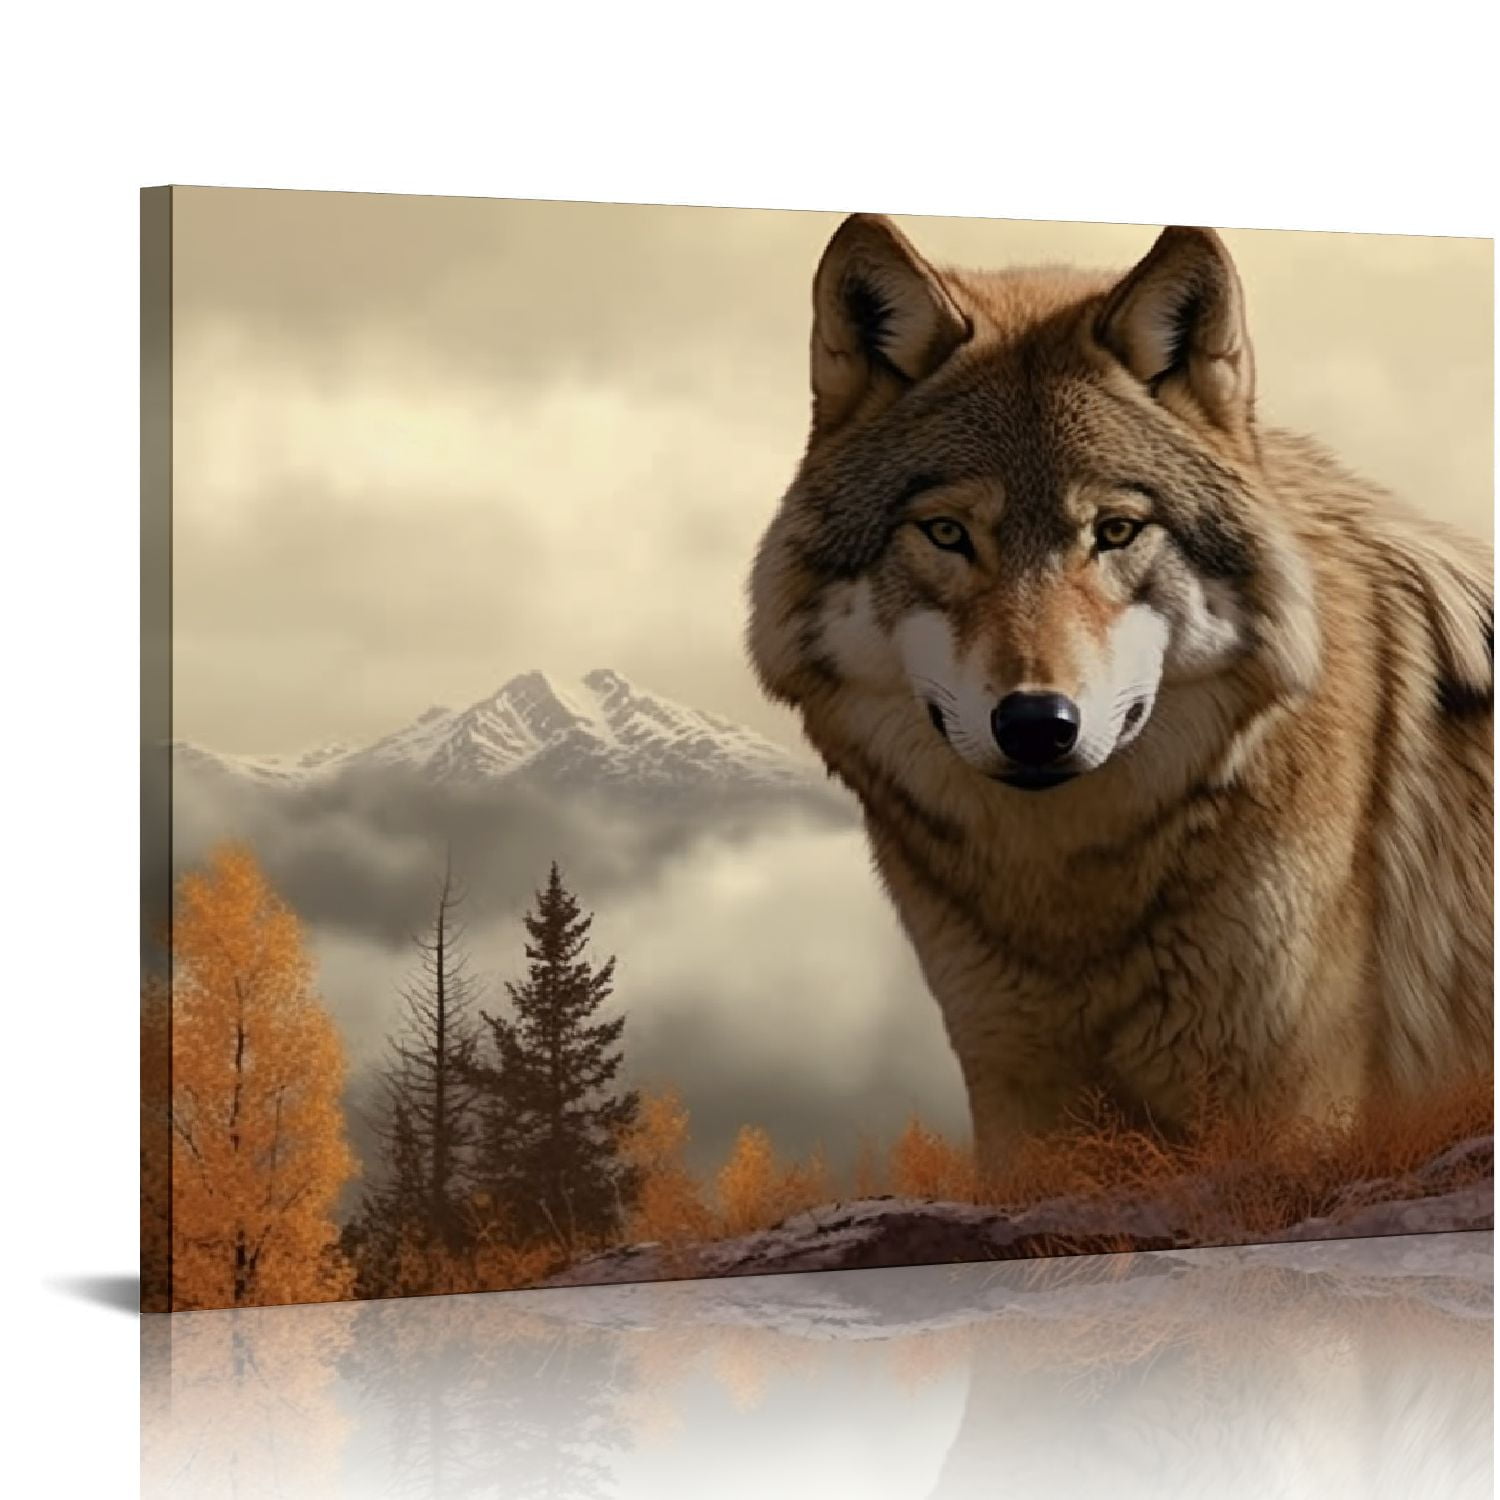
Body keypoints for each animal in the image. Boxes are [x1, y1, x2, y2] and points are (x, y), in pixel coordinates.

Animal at [748, 214, 1493, 1173]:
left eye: (1115, 531)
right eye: (947, 533)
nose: (1036, 723)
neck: (1070, 916)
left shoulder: (1293, 1115)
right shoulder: (1021, 1112)